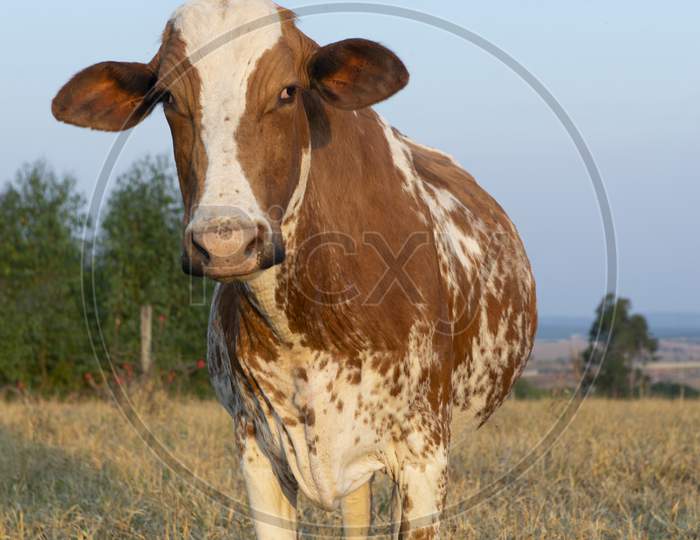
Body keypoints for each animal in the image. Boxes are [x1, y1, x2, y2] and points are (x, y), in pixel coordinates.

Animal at [52, 0, 537, 538]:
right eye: (169, 98)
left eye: (288, 91)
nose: (225, 241)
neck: (307, 325)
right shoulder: (256, 449)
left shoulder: (423, 456)